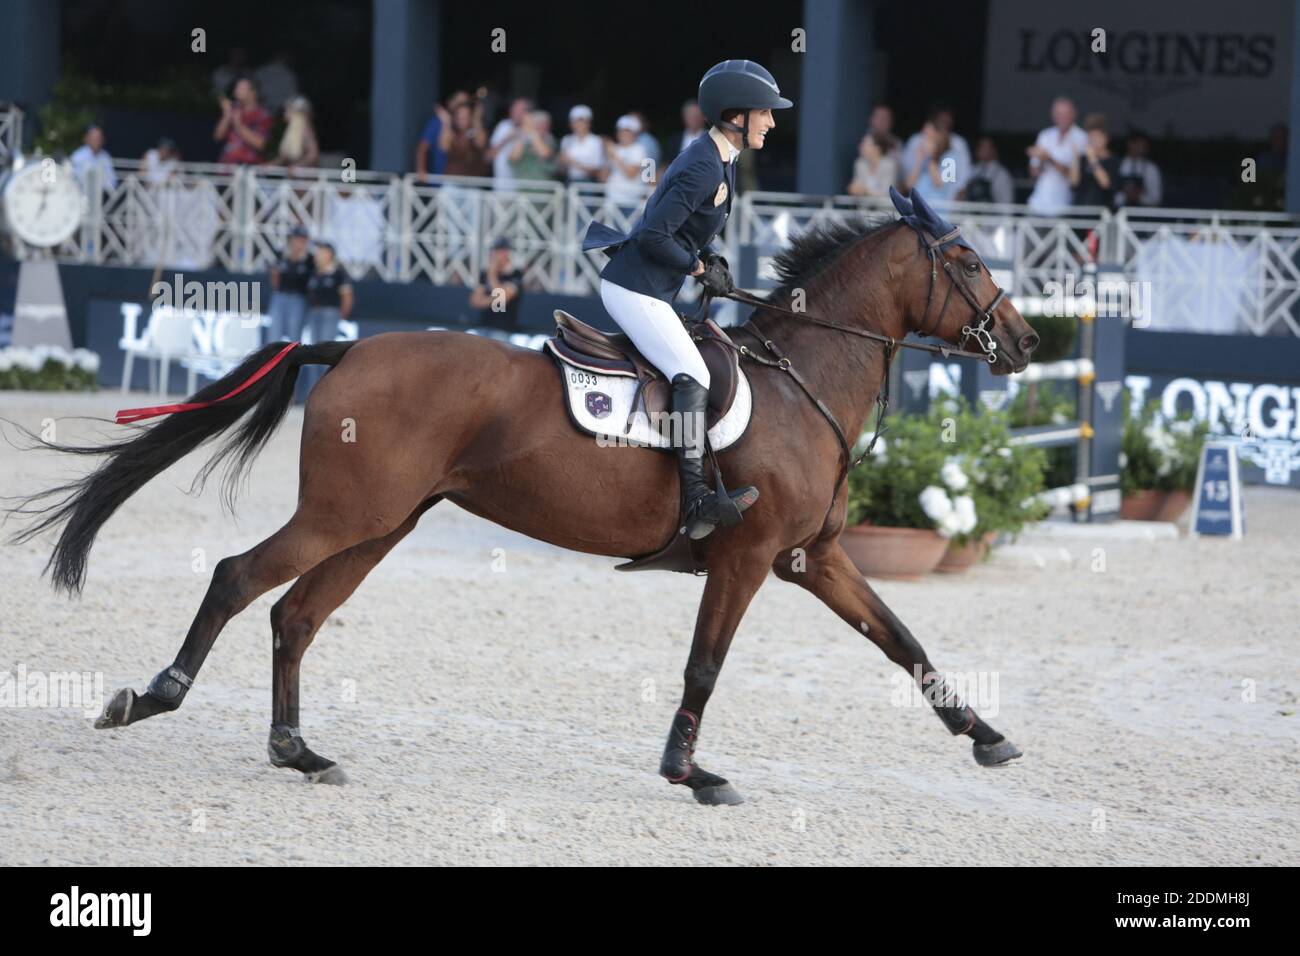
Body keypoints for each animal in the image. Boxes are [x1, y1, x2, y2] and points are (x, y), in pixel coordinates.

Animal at [7, 188, 1038, 804]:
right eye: (970, 261)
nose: (1027, 343)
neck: (803, 383)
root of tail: (348, 347)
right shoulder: (745, 559)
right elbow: (705, 666)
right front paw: (689, 773)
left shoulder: (811, 558)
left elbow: (905, 643)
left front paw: (986, 735)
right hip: (345, 516)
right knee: (234, 578)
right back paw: (152, 697)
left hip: (380, 525)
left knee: (294, 615)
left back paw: (298, 750)